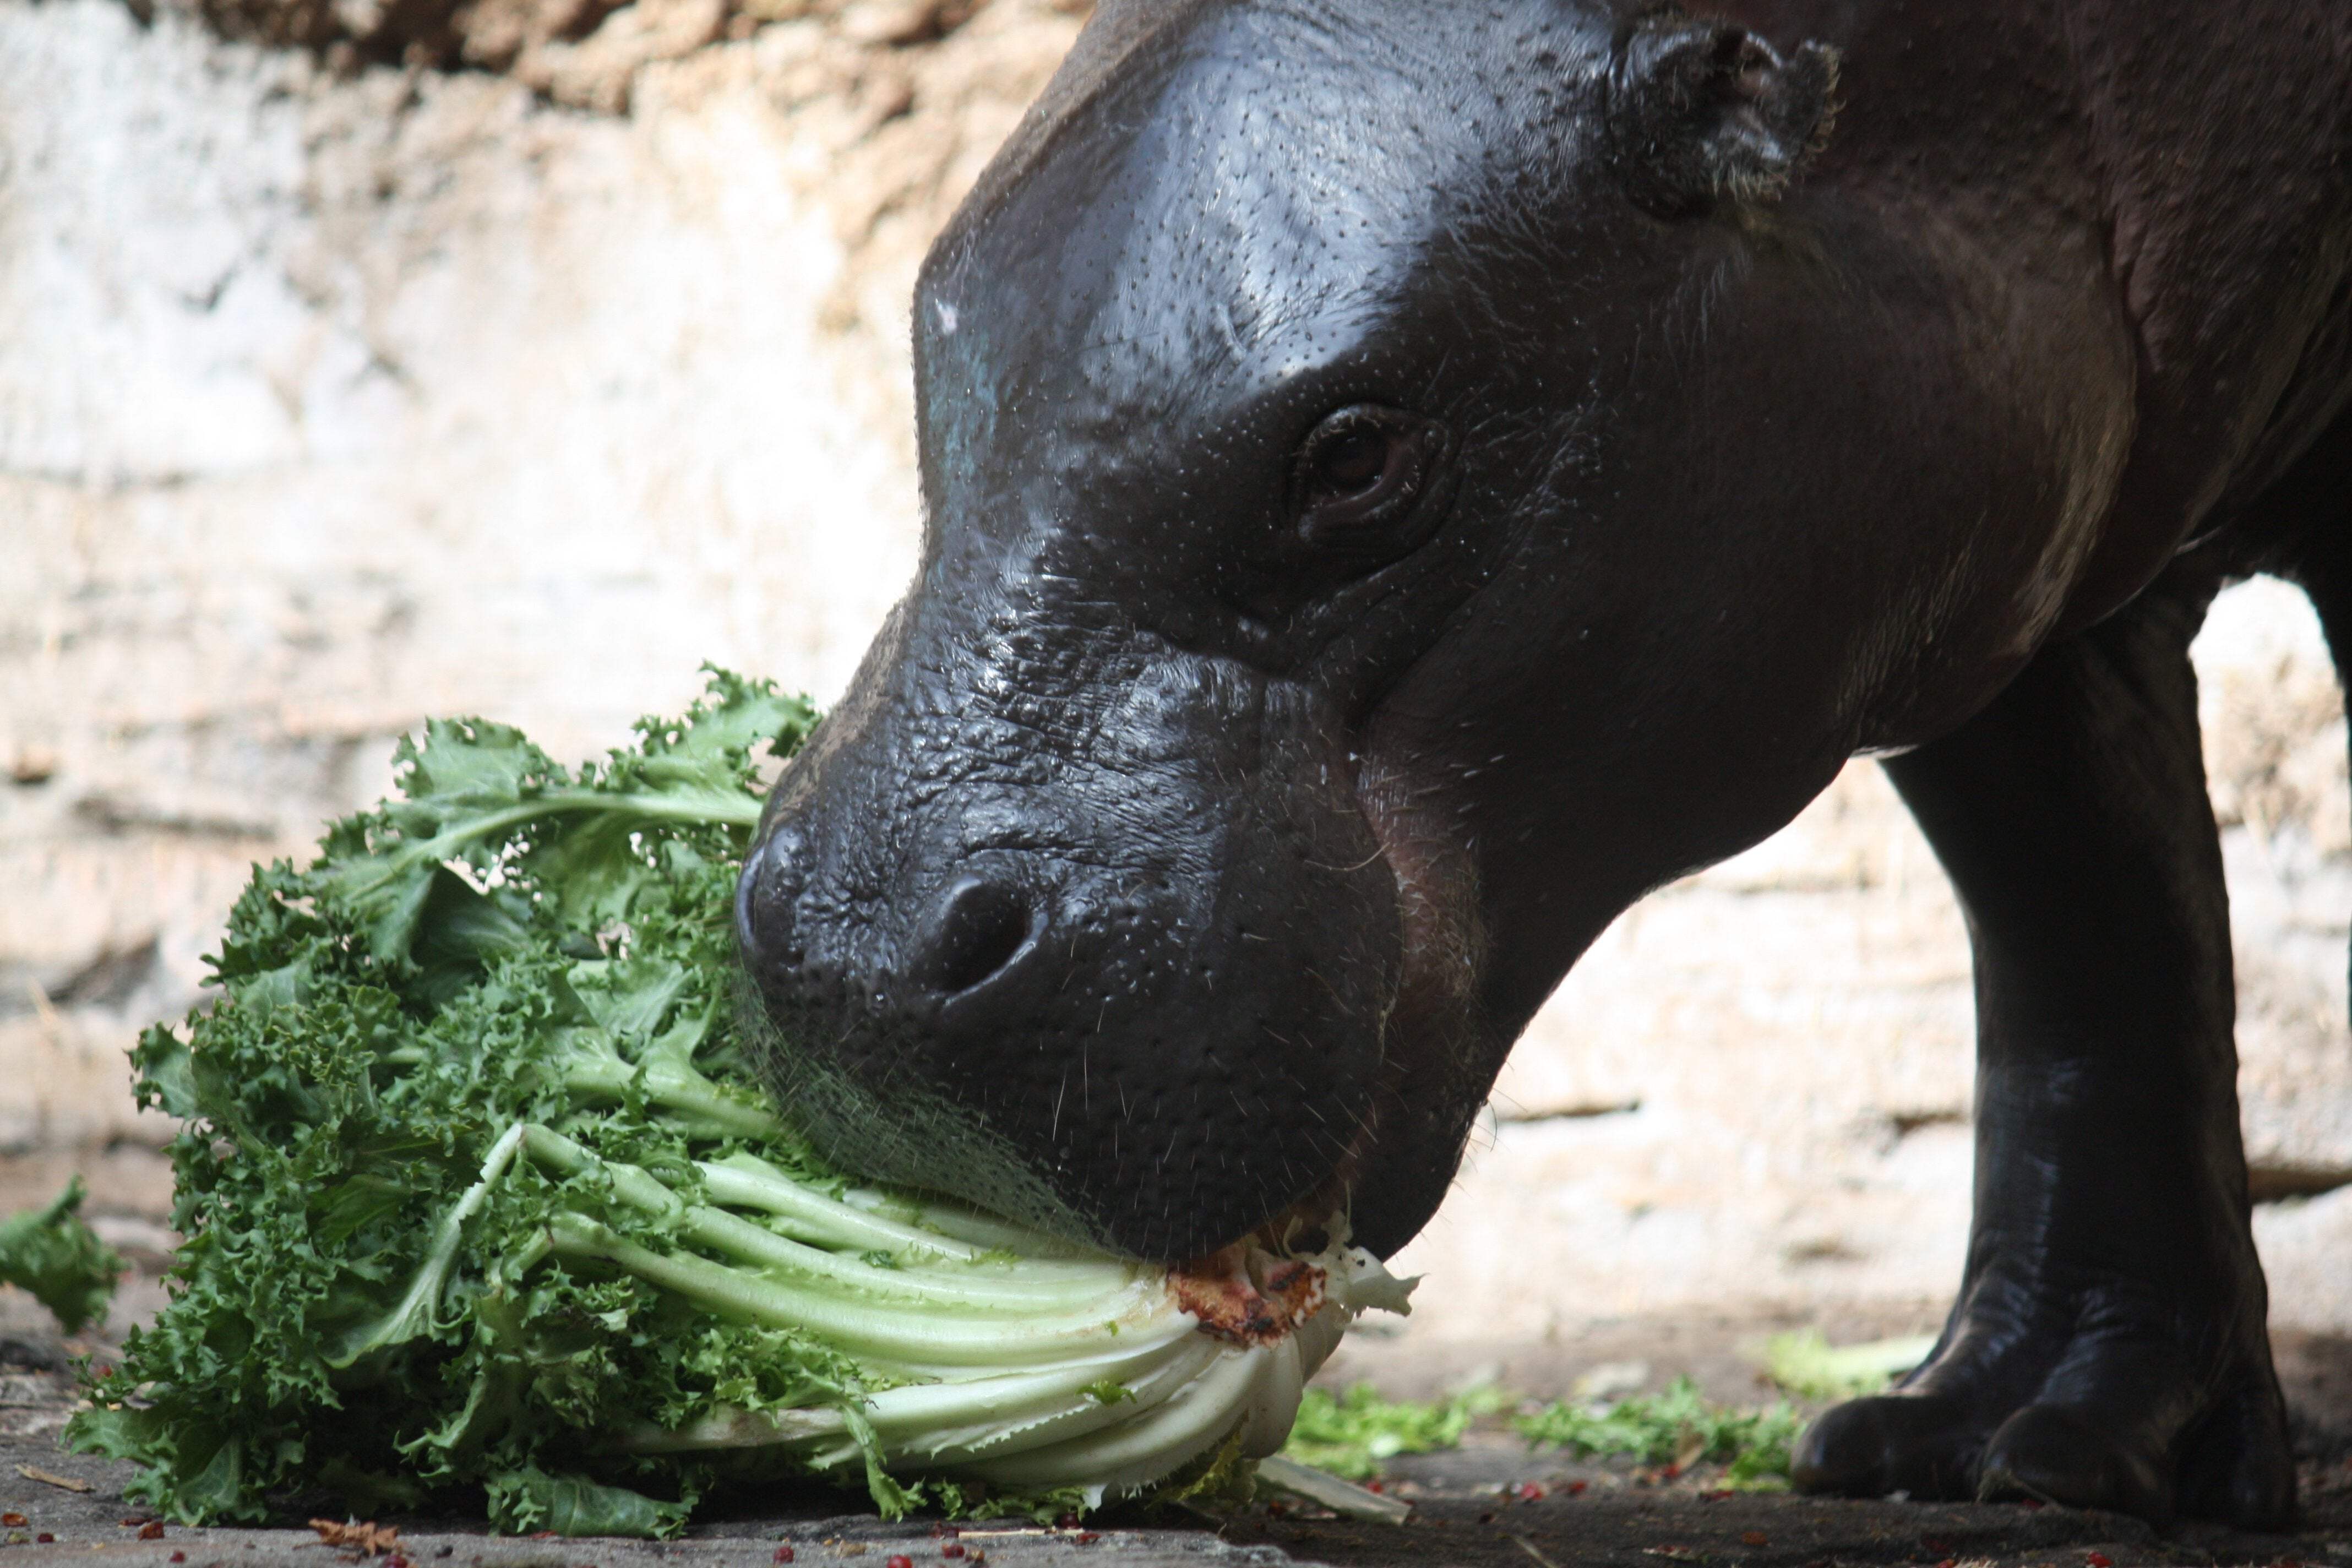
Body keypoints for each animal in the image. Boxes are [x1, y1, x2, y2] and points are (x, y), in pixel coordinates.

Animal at [735, 0, 2352, 1527]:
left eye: (1356, 456)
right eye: (931, 344)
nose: (856, 952)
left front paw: (2038, 1456)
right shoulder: (2014, 568)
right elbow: (2090, 929)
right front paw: (1997, 1443)